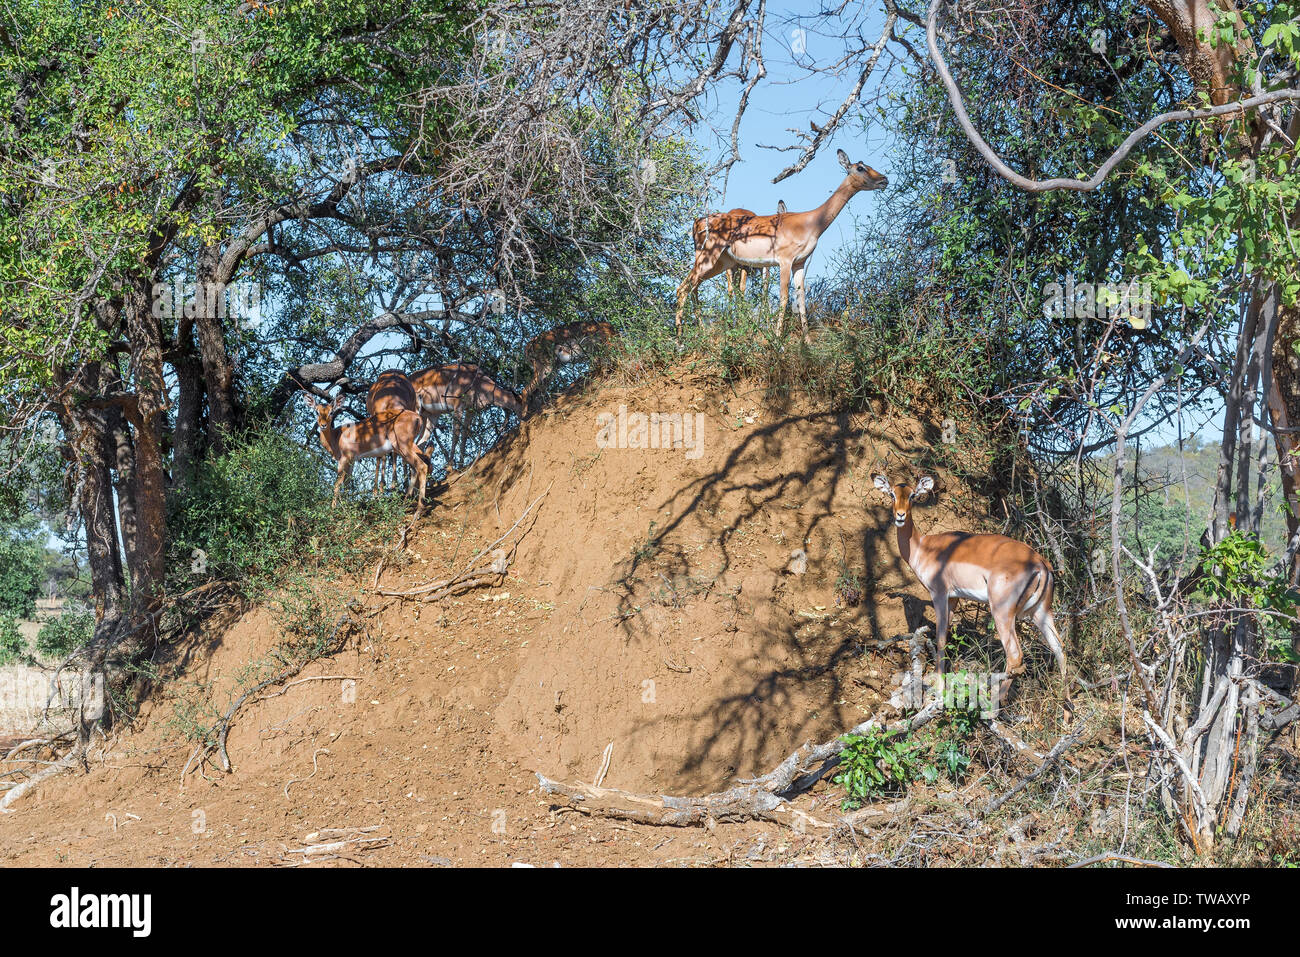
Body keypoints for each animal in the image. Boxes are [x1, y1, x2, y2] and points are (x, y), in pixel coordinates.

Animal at [676, 151, 887, 336]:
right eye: (860, 168)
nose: (884, 180)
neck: (810, 222)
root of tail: (698, 221)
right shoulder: (784, 262)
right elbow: (784, 299)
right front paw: (778, 341)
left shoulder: (799, 264)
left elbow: (801, 301)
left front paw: (806, 342)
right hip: (709, 260)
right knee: (683, 288)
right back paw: (680, 341)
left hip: (721, 264)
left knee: (692, 288)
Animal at [873, 474, 1070, 715]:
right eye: (892, 494)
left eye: (912, 495)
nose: (900, 516)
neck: (923, 547)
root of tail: (1041, 564)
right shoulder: (954, 599)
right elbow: (947, 636)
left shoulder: (939, 594)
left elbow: (940, 638)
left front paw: (939, 692)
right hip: (1041, 613)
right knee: (1059, 649)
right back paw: (1067, 714)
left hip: (1002, 613)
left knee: (1015, 656)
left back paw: (993, 707)